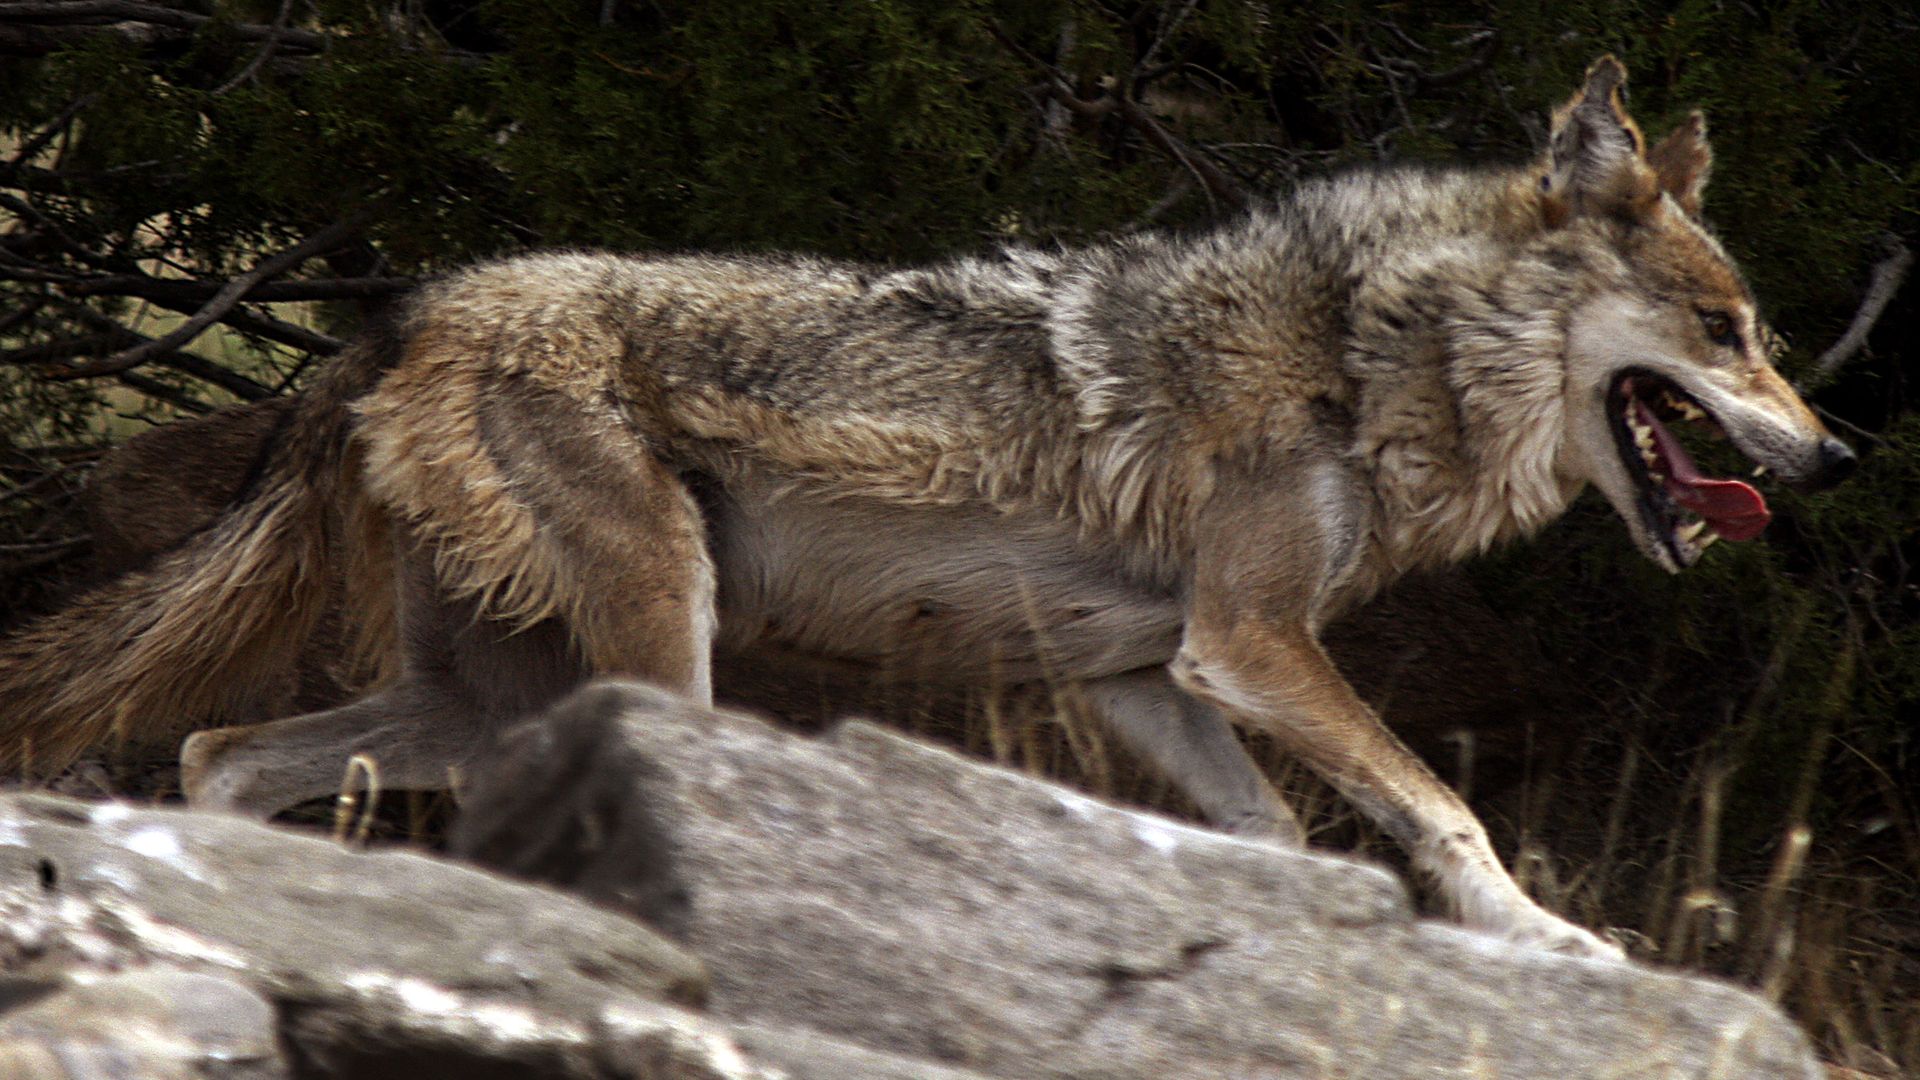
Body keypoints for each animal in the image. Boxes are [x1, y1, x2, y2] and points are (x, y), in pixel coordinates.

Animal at [0, 58, 1853, 957]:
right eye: (1729, 331)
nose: (1834, 459)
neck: (1362, 351)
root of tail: (403, 311)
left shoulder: (1149, 675)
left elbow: (1272, 838)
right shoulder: (1249, 647)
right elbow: (1448, 812)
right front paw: (1552, 941)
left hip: (487, 695)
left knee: (218, 753)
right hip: (653, 651)